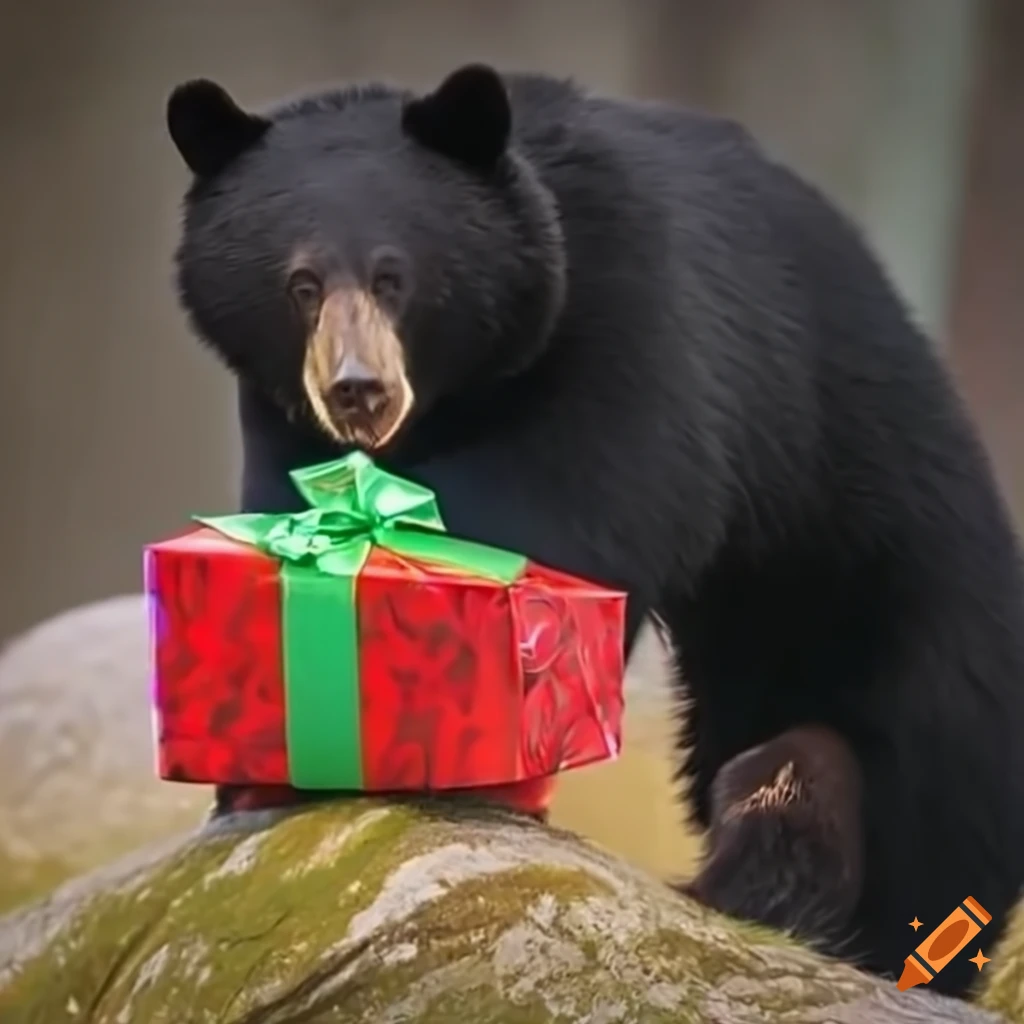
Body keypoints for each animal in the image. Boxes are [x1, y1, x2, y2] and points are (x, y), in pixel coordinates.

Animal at [165, 64, 1024, 998]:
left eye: (394, 277)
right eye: (301, 285)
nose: (360, 390)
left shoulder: (640, 316)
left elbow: (571, 508)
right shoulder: (280, 407)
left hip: (903, 614)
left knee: (891, 800)